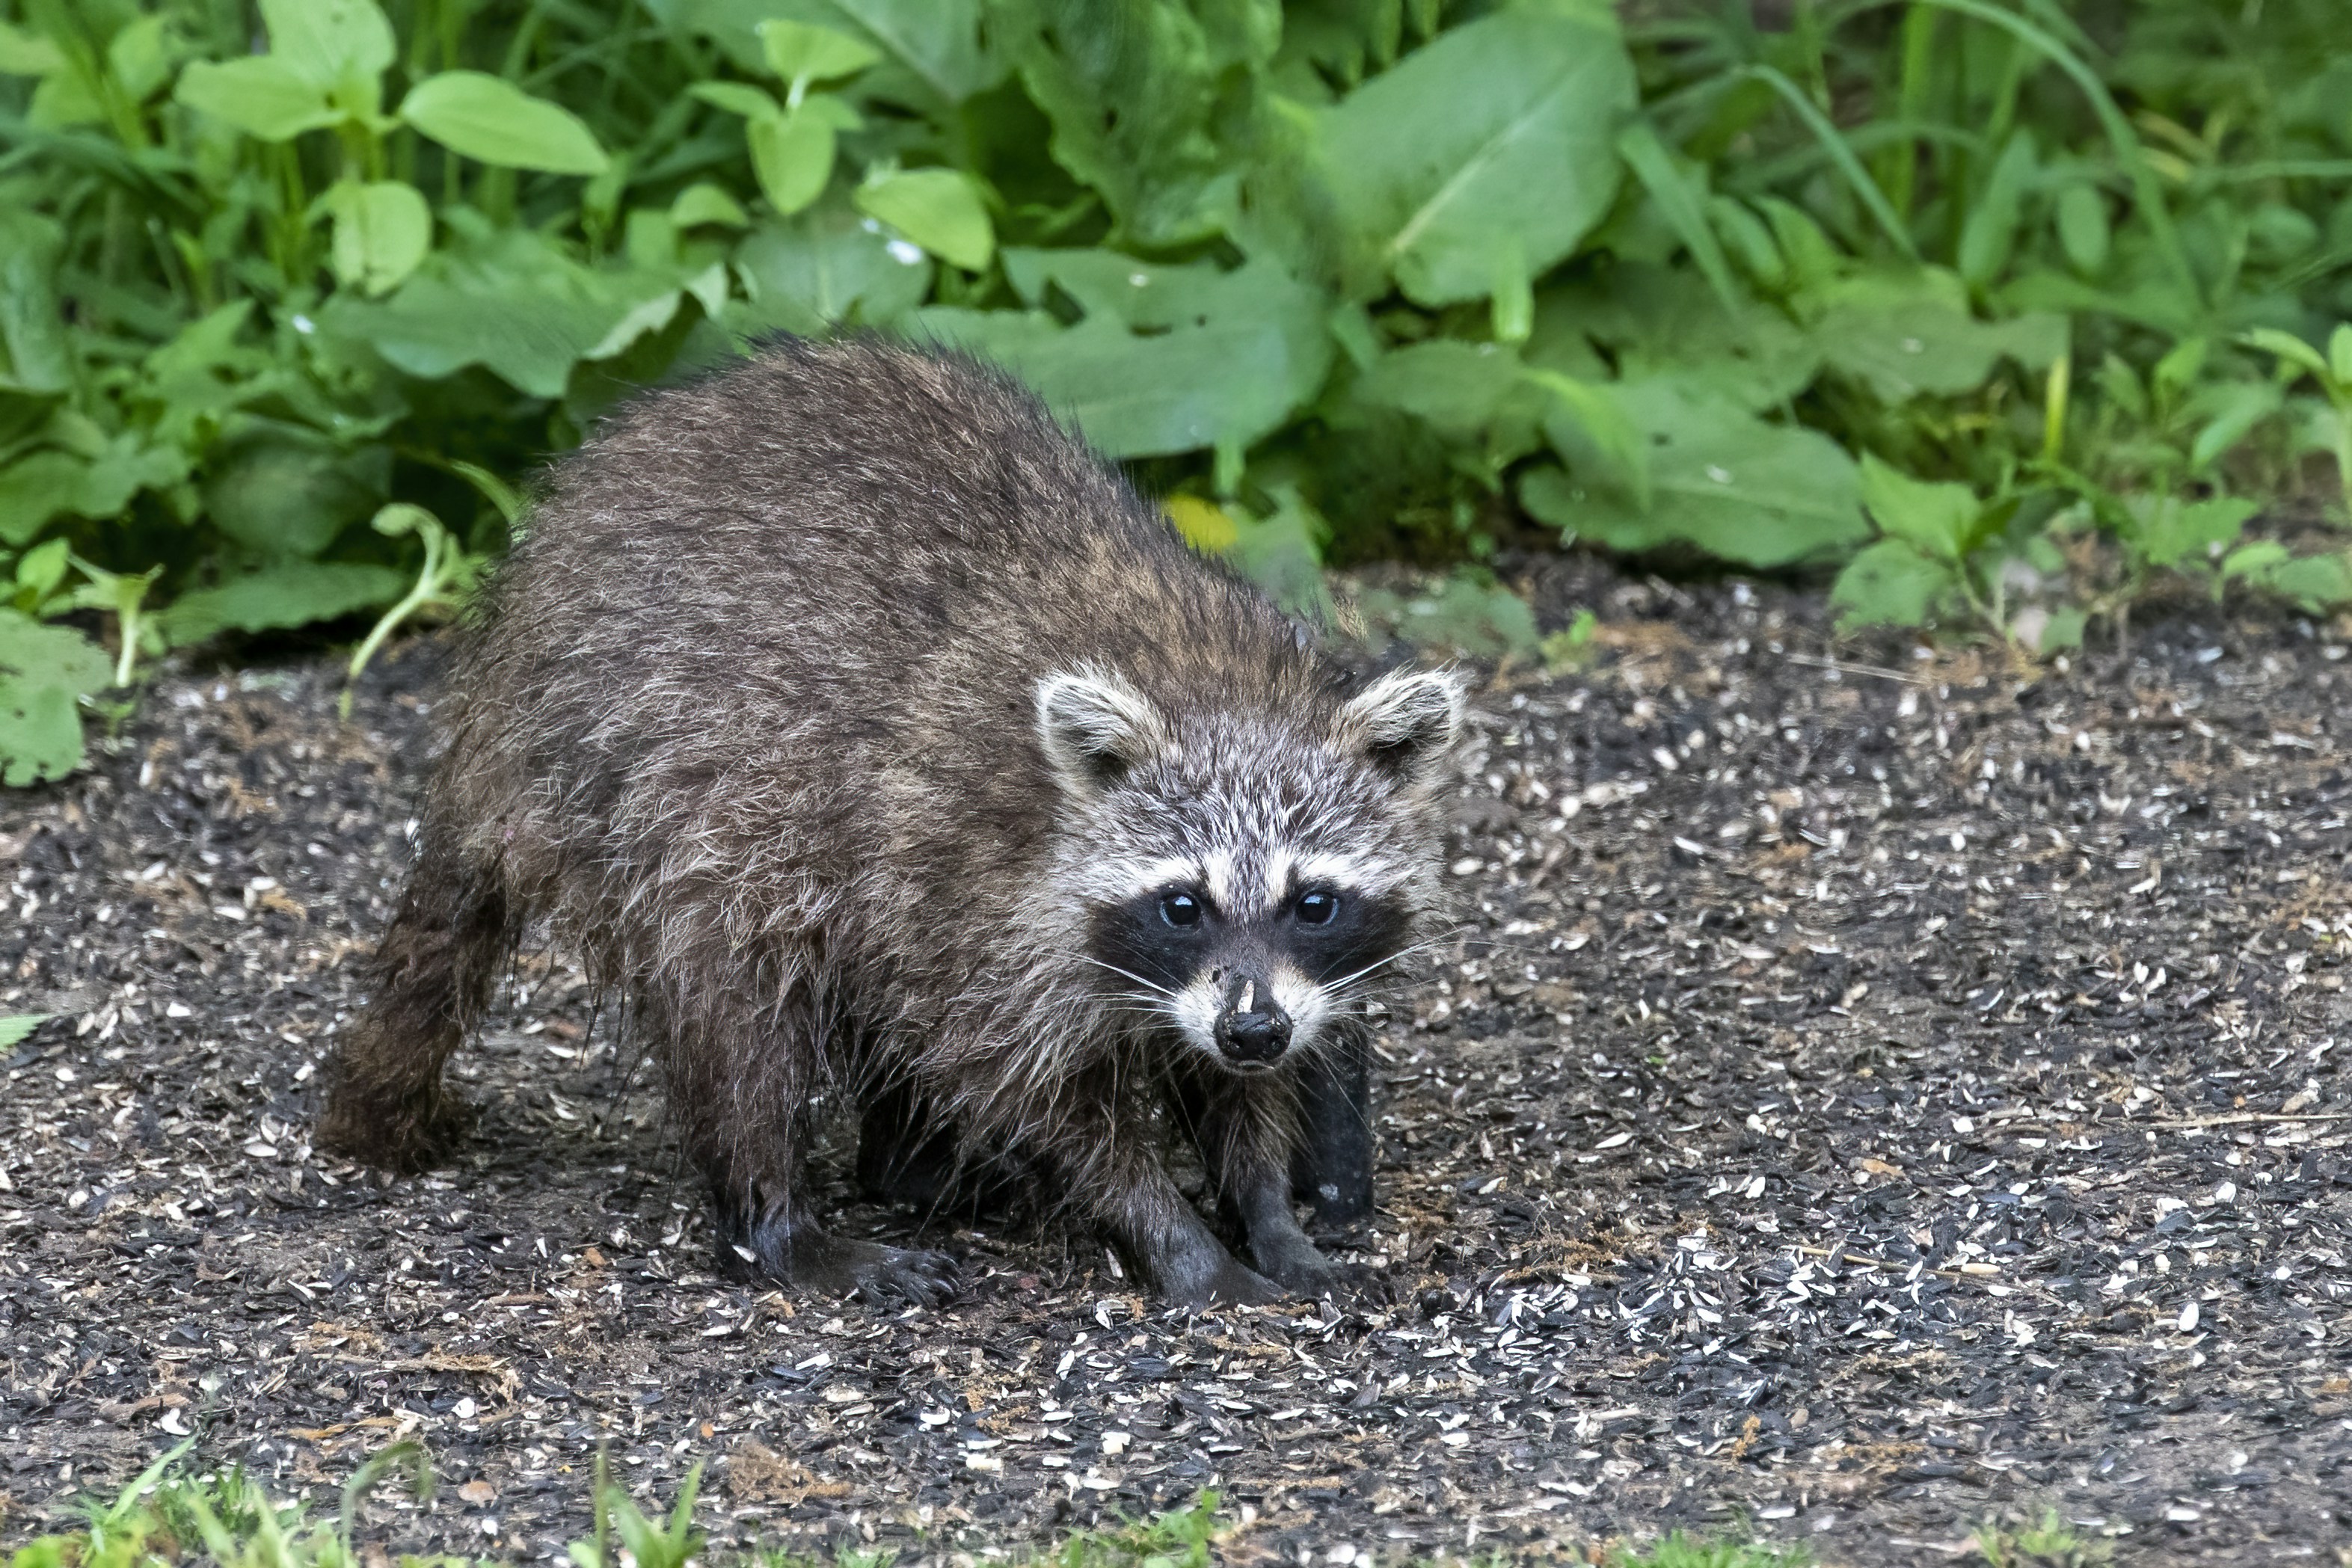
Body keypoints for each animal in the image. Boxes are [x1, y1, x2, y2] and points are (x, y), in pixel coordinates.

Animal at [317, 338, 1461, 1306]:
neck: (1218, 689)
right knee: (739, 1006)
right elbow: (1016, 1079)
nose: (1253, 1029)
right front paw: (1171, 1232)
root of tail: (506, 655)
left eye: (1313, 900)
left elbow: (1236, 1094)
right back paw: (780, 1220)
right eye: (1182, 904)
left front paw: (1266, 1209)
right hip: (661, 793)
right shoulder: (972, 876)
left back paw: (910, 1166)